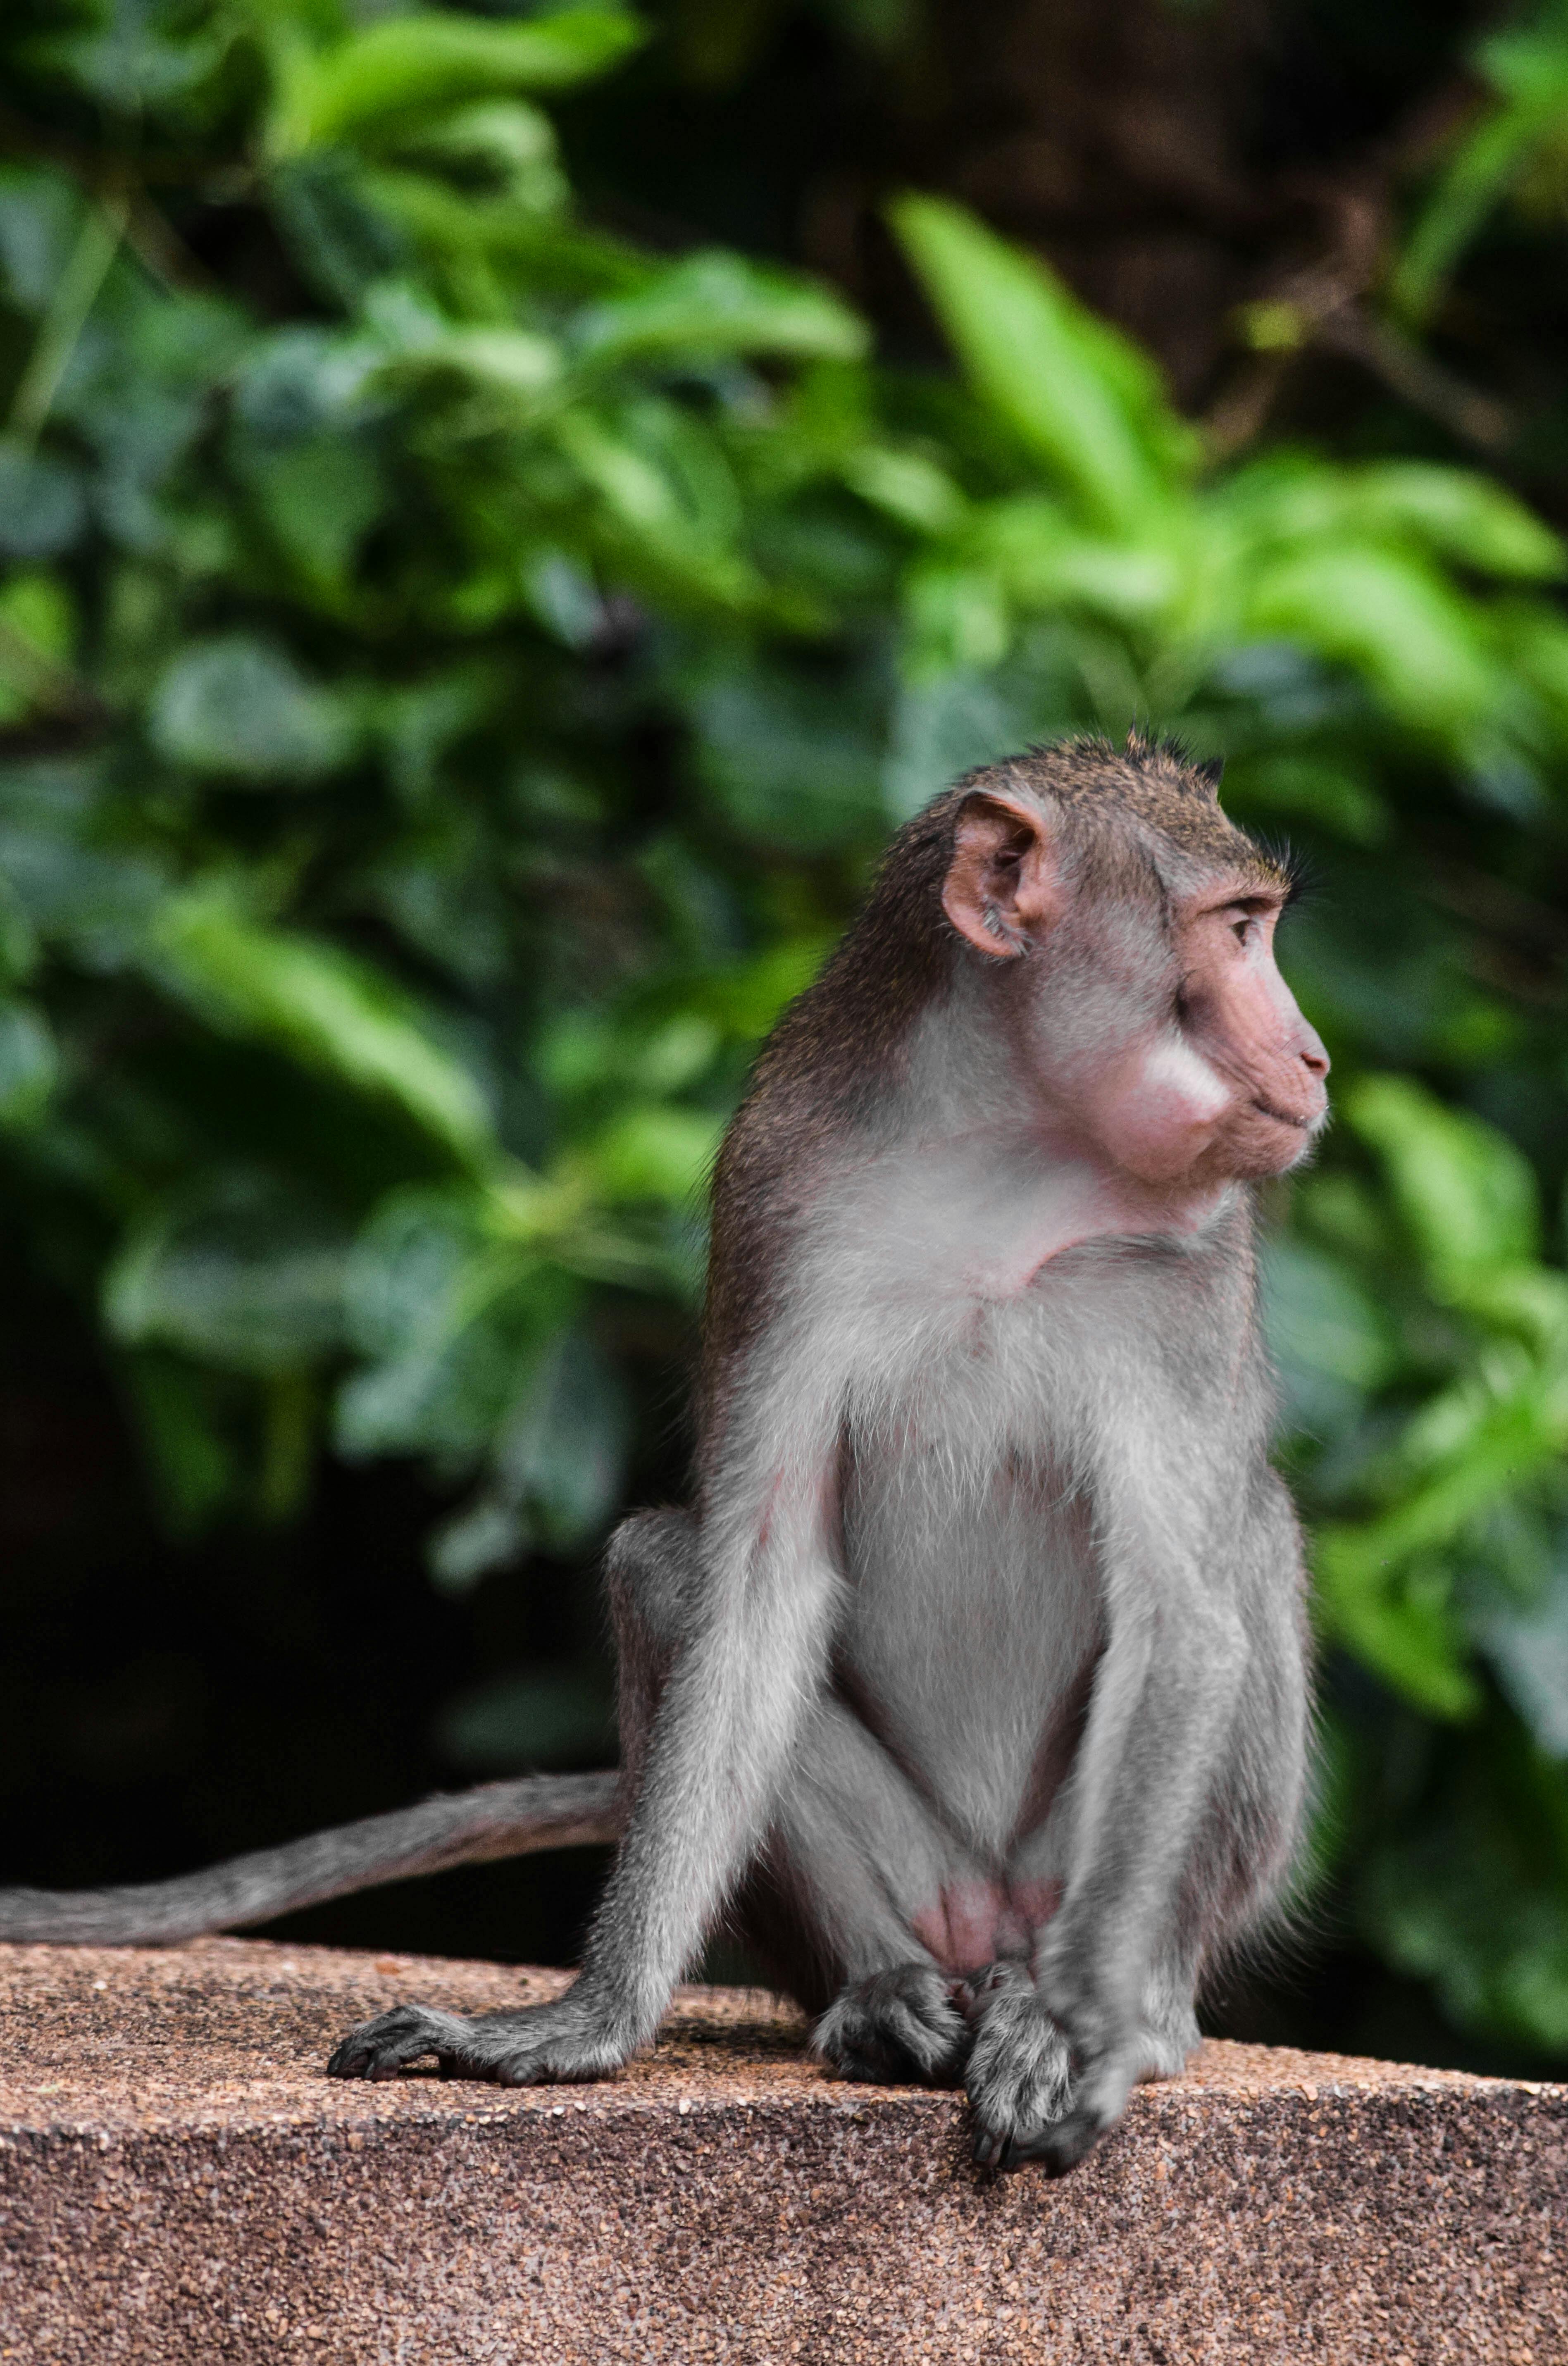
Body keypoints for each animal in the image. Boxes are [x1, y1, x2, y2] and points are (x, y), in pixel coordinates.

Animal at [0, 736, 1328, 2175]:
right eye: (1237, 930)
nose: (1313, 1057)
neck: (1009, 1164)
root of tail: (998, 1927)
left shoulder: (1191, 1272)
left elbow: (1183, 1619)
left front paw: (1086, 2041)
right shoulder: (782, 1201)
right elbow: (756, 1586)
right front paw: (585, 2023)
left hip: (1093, 1885)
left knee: (1246, 1550)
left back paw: (1098, 2010)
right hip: (928, 1882)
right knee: (663, 1566)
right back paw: (879, 1991)